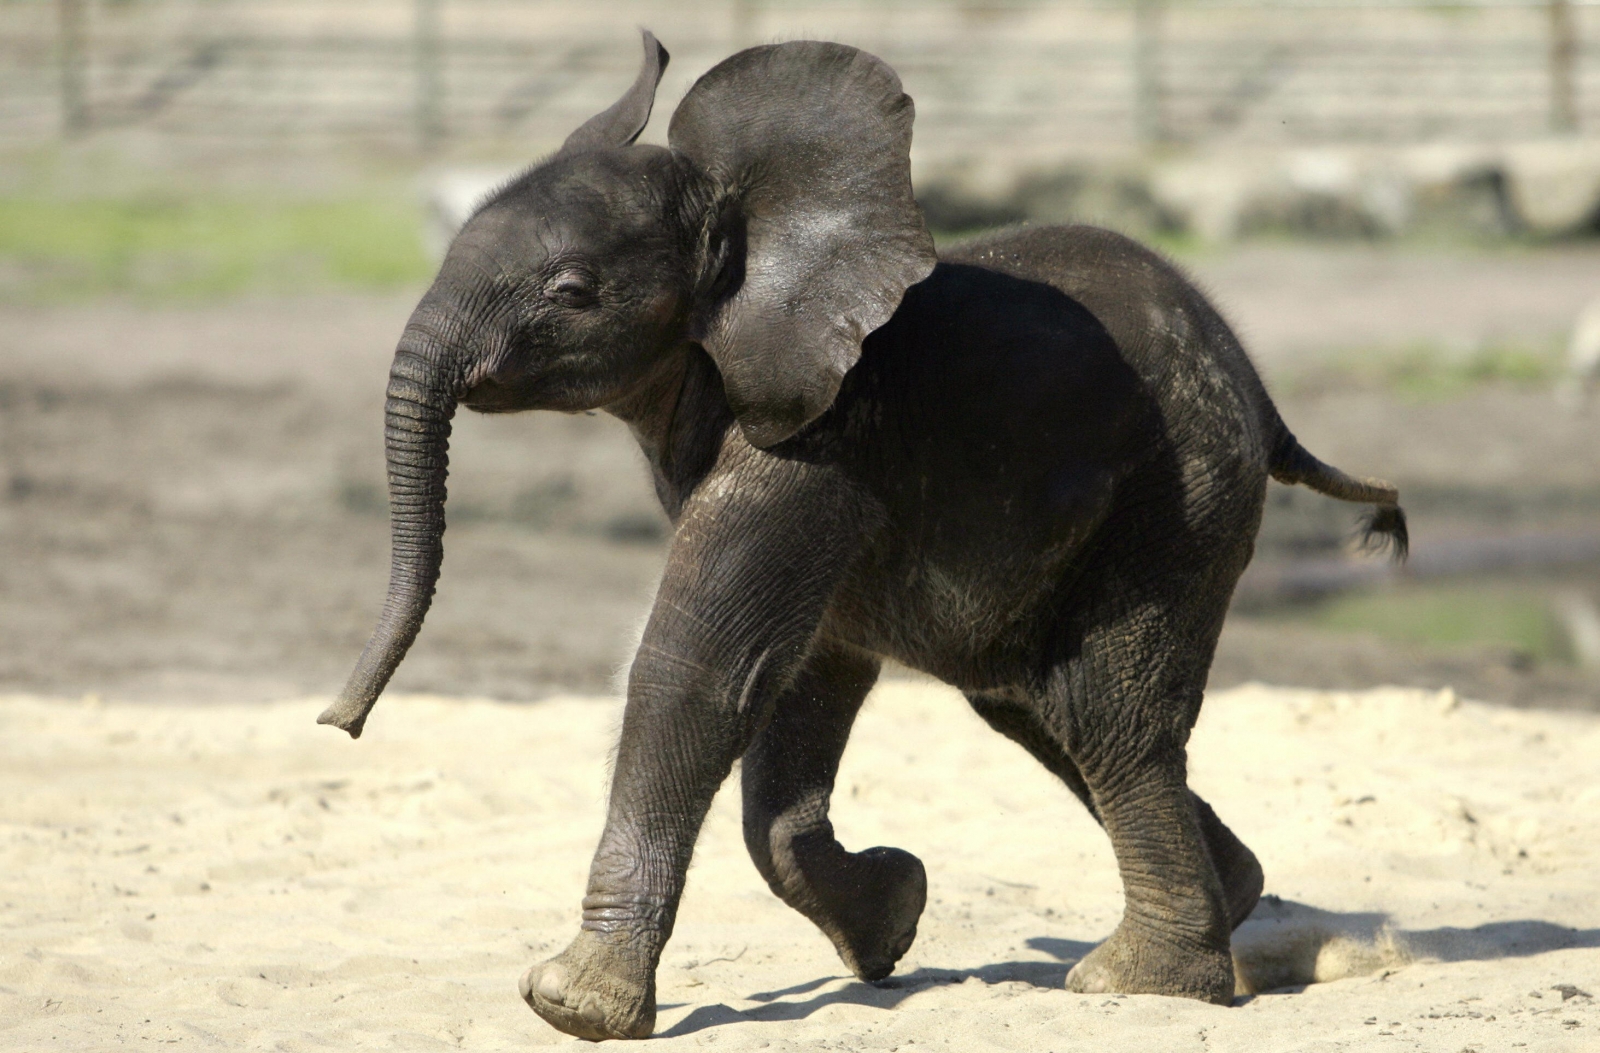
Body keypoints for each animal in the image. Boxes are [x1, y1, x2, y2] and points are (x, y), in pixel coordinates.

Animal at [318, 32, 1407, 1041]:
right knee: (1031, 704)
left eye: (573, 291)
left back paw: (1135, 983)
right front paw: (890, 925)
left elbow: (700, 665)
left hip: (1180, 493)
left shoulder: (825, 433)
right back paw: (1238, 895)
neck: (742, 216)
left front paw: (572, 1007)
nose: (340, 723)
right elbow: (800, 672)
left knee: (1099, 710)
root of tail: (1260, 390)